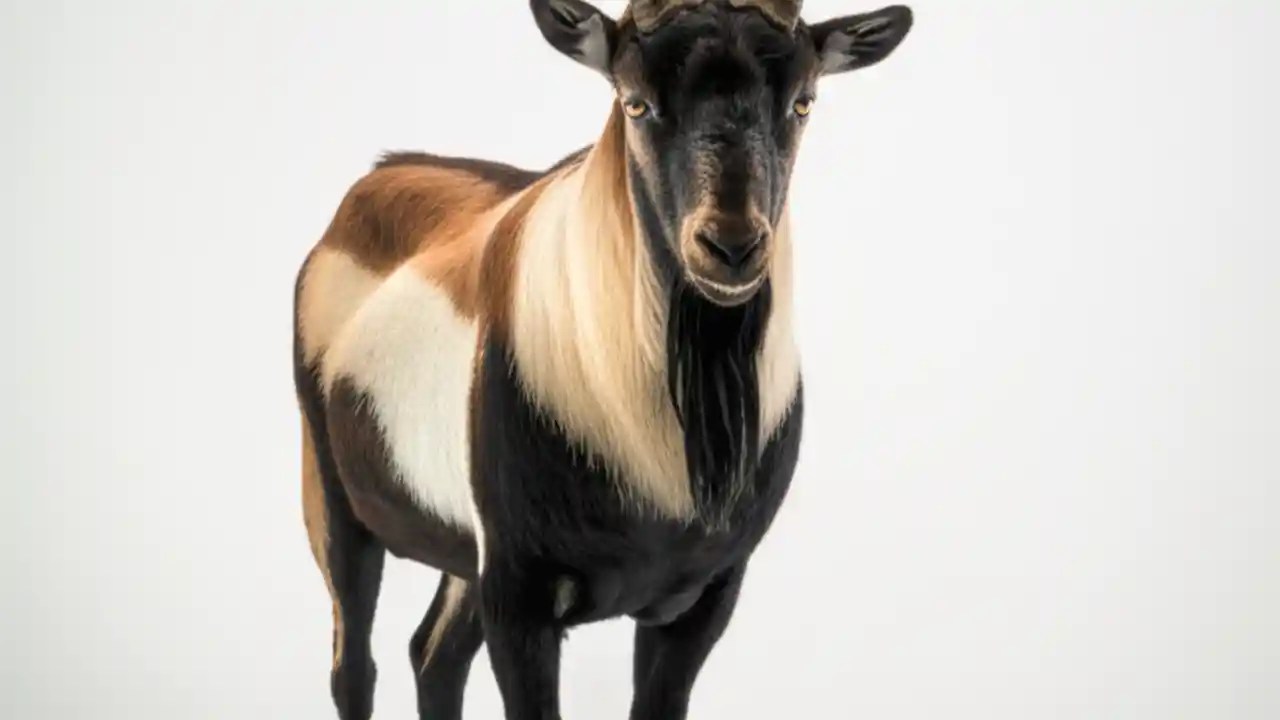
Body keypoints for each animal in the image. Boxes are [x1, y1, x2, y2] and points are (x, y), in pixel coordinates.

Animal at [293, 1, 913, 718]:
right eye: (635, 101)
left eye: (803, 100)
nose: (730, 248)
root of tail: (372, 184)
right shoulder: (521, 600)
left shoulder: (700, 600)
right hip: (337, 506)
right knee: (353, 665)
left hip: (463, 558)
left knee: (434, 654)